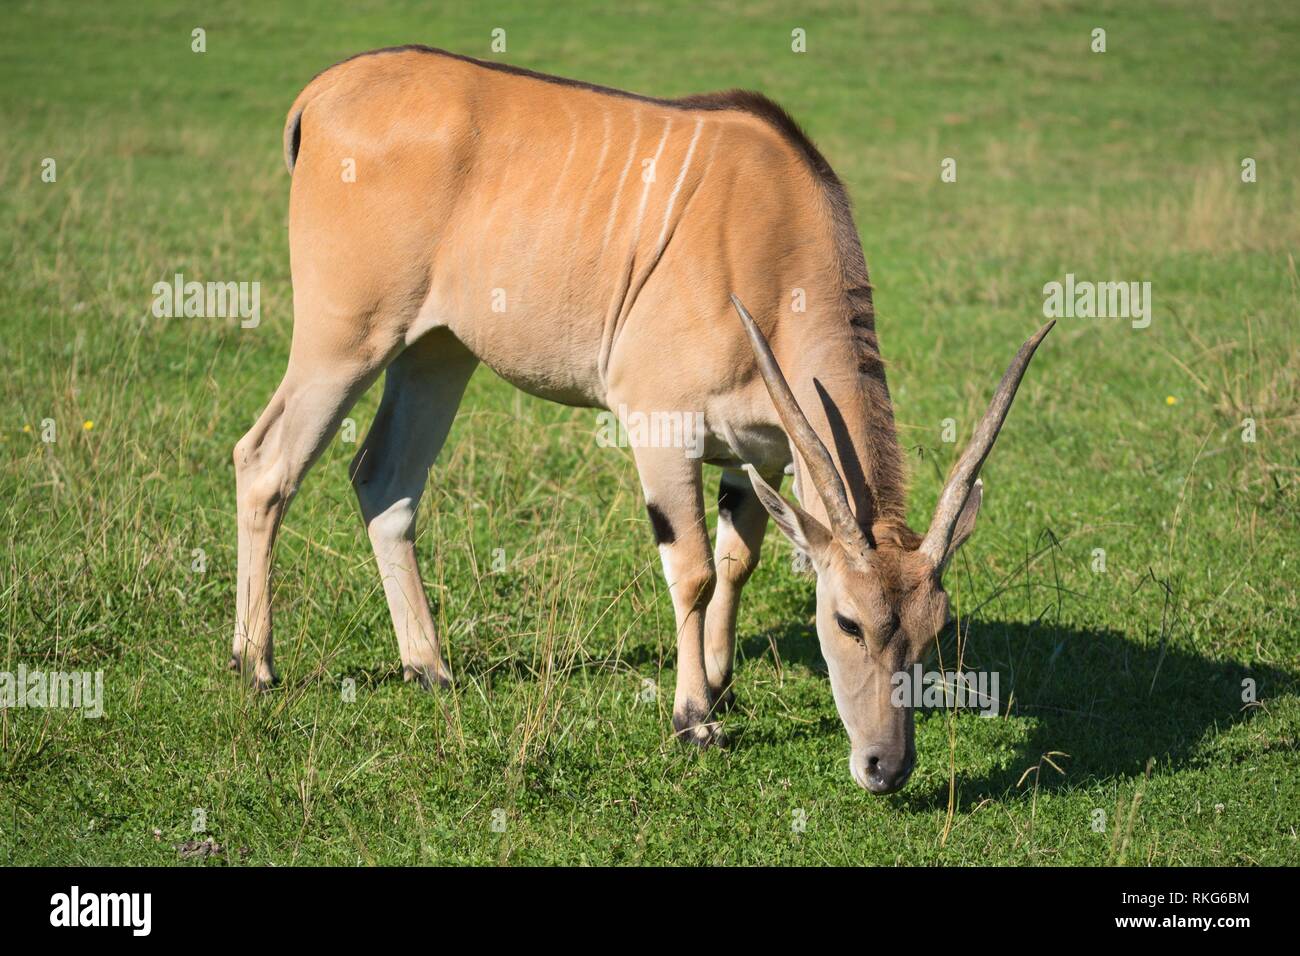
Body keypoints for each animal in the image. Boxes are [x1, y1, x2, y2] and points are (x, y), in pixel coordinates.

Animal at [232, 46, 1053, 794]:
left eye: (934, 630)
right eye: (848, 621)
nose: (887, 767)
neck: (770, 238)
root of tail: (323, 93)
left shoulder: (761, 454)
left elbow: (736, 560)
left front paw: (720, 683)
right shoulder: (661, 427)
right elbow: (692, 570)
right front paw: (694, 718)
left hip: (437, 352)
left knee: (386, 480)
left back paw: (428, 667)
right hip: (345, 340)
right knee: (265, 462)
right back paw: (255, 664)